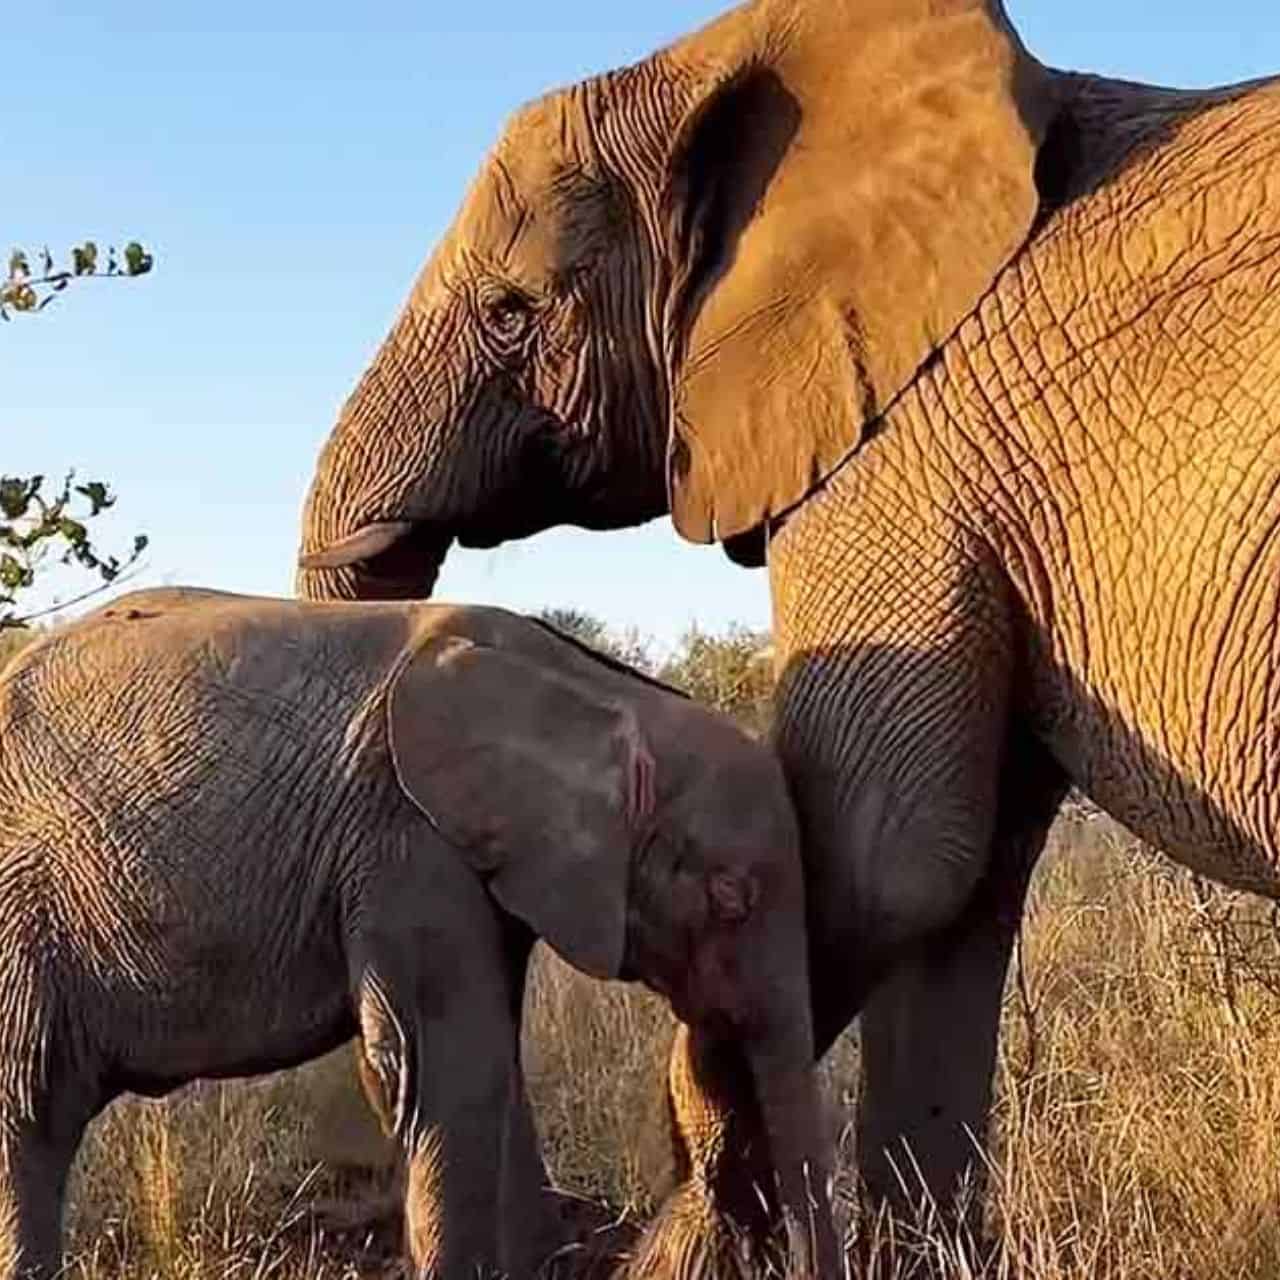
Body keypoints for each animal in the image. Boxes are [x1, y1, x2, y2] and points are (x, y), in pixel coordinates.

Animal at [0, 586, 837, 1280]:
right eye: (730, 898)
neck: (600, 692)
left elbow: (492, 1063)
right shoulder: (407, 839)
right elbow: (436, 1067)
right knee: (29, 1106)